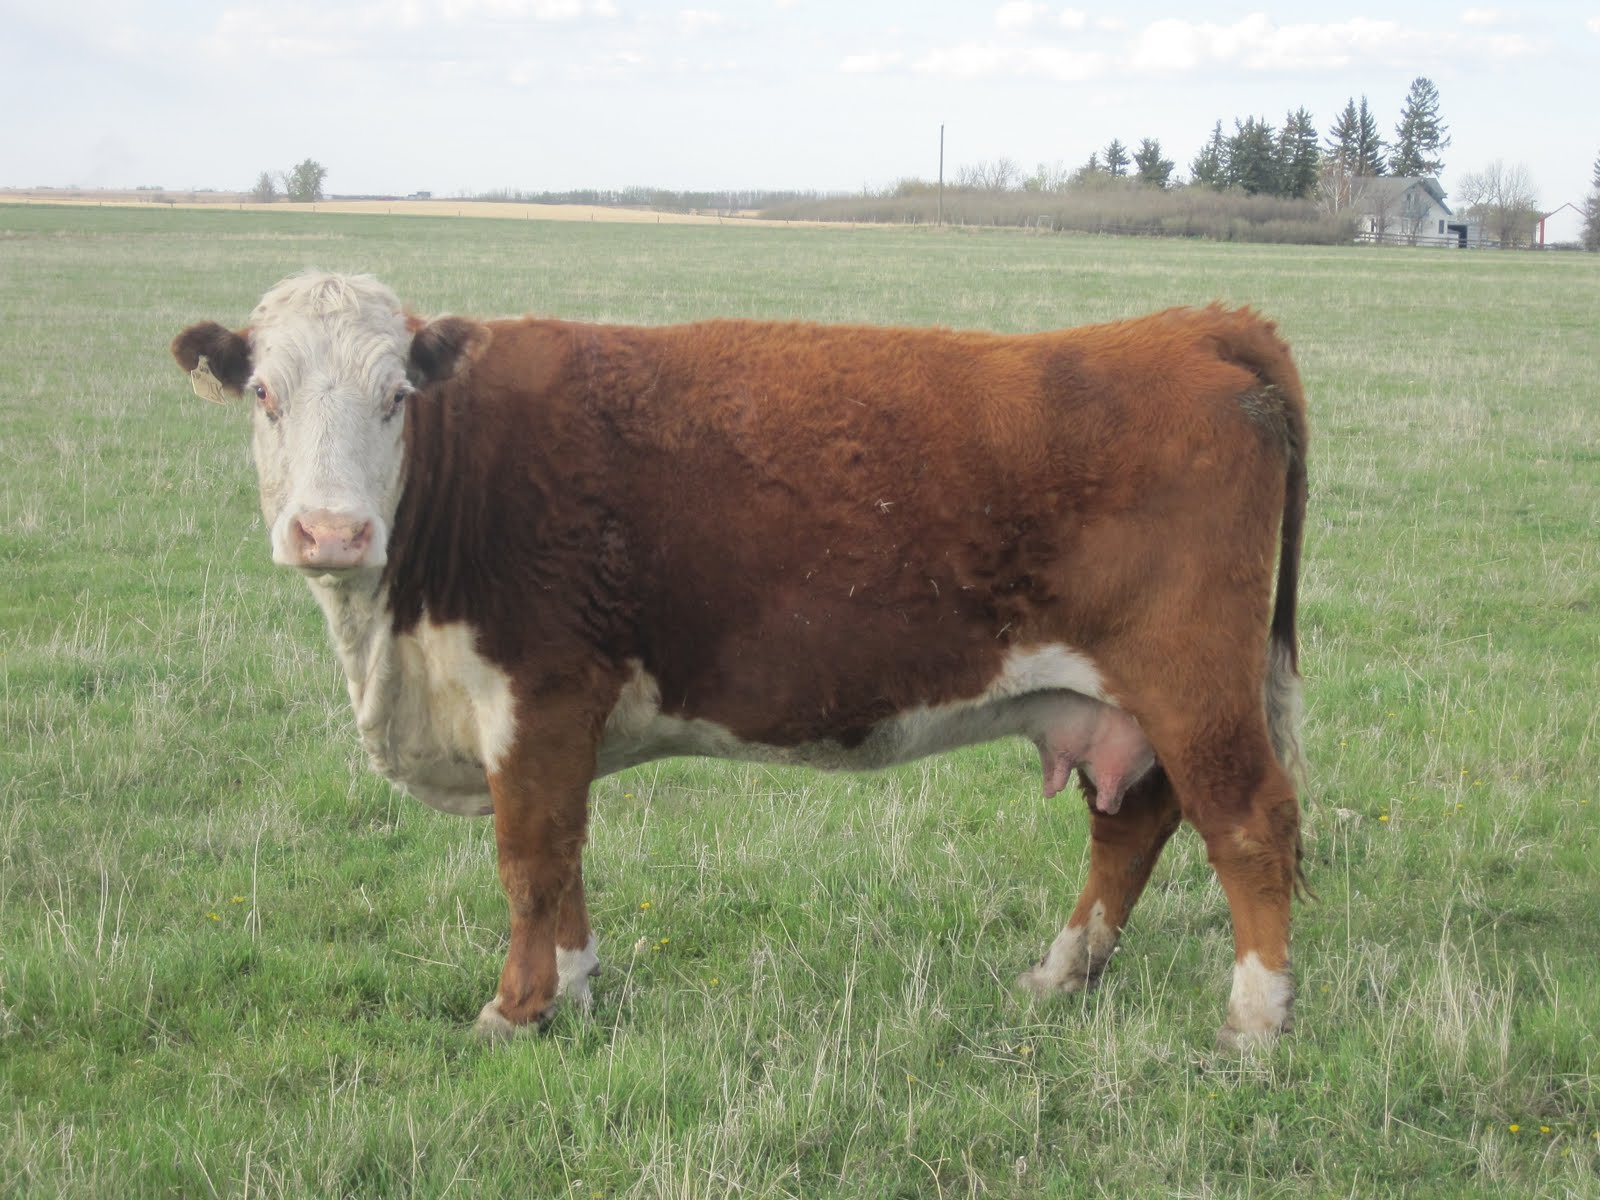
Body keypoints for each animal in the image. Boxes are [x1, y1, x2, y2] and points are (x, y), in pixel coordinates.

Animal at [172, 271, 1309, 1050]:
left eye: (396, 395)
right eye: (264, 393)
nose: (330, 532)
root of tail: (1195, 326)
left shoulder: (540, 693)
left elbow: (531, 858)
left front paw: (515, 1008)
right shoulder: (554, 719)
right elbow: (567, 856)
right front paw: (574, 989)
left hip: (1193, 683)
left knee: (1248, 822)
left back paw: (1255, 1019)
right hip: (1125, 702)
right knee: (1133, 823)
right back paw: (1062, 973)